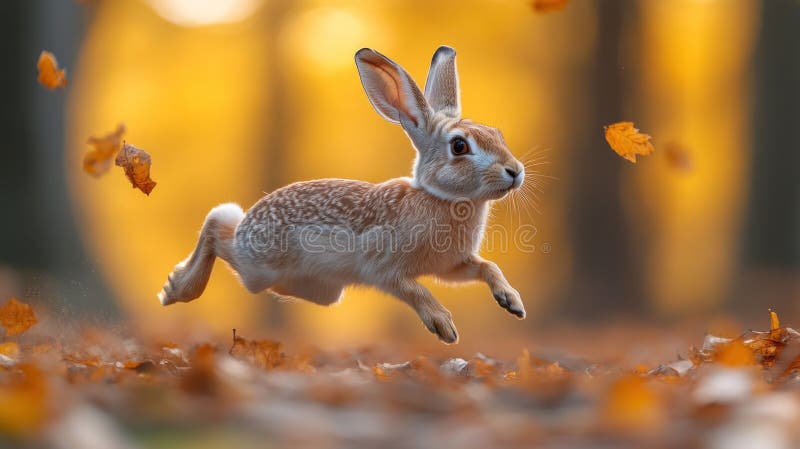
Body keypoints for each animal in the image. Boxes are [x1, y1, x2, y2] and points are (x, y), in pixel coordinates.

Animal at [158, 46, 527, 344]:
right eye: (460, 146)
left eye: (497, 133)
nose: (515, 171)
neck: (442, 197)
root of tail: (251, 222)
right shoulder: (384, 266)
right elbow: (414, 288)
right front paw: (444, 326)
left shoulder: (451, 265)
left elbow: (486, 267)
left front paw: (512, 302)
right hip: (258, 265)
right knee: (217, 225)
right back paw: (175, 288)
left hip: (313, 288)